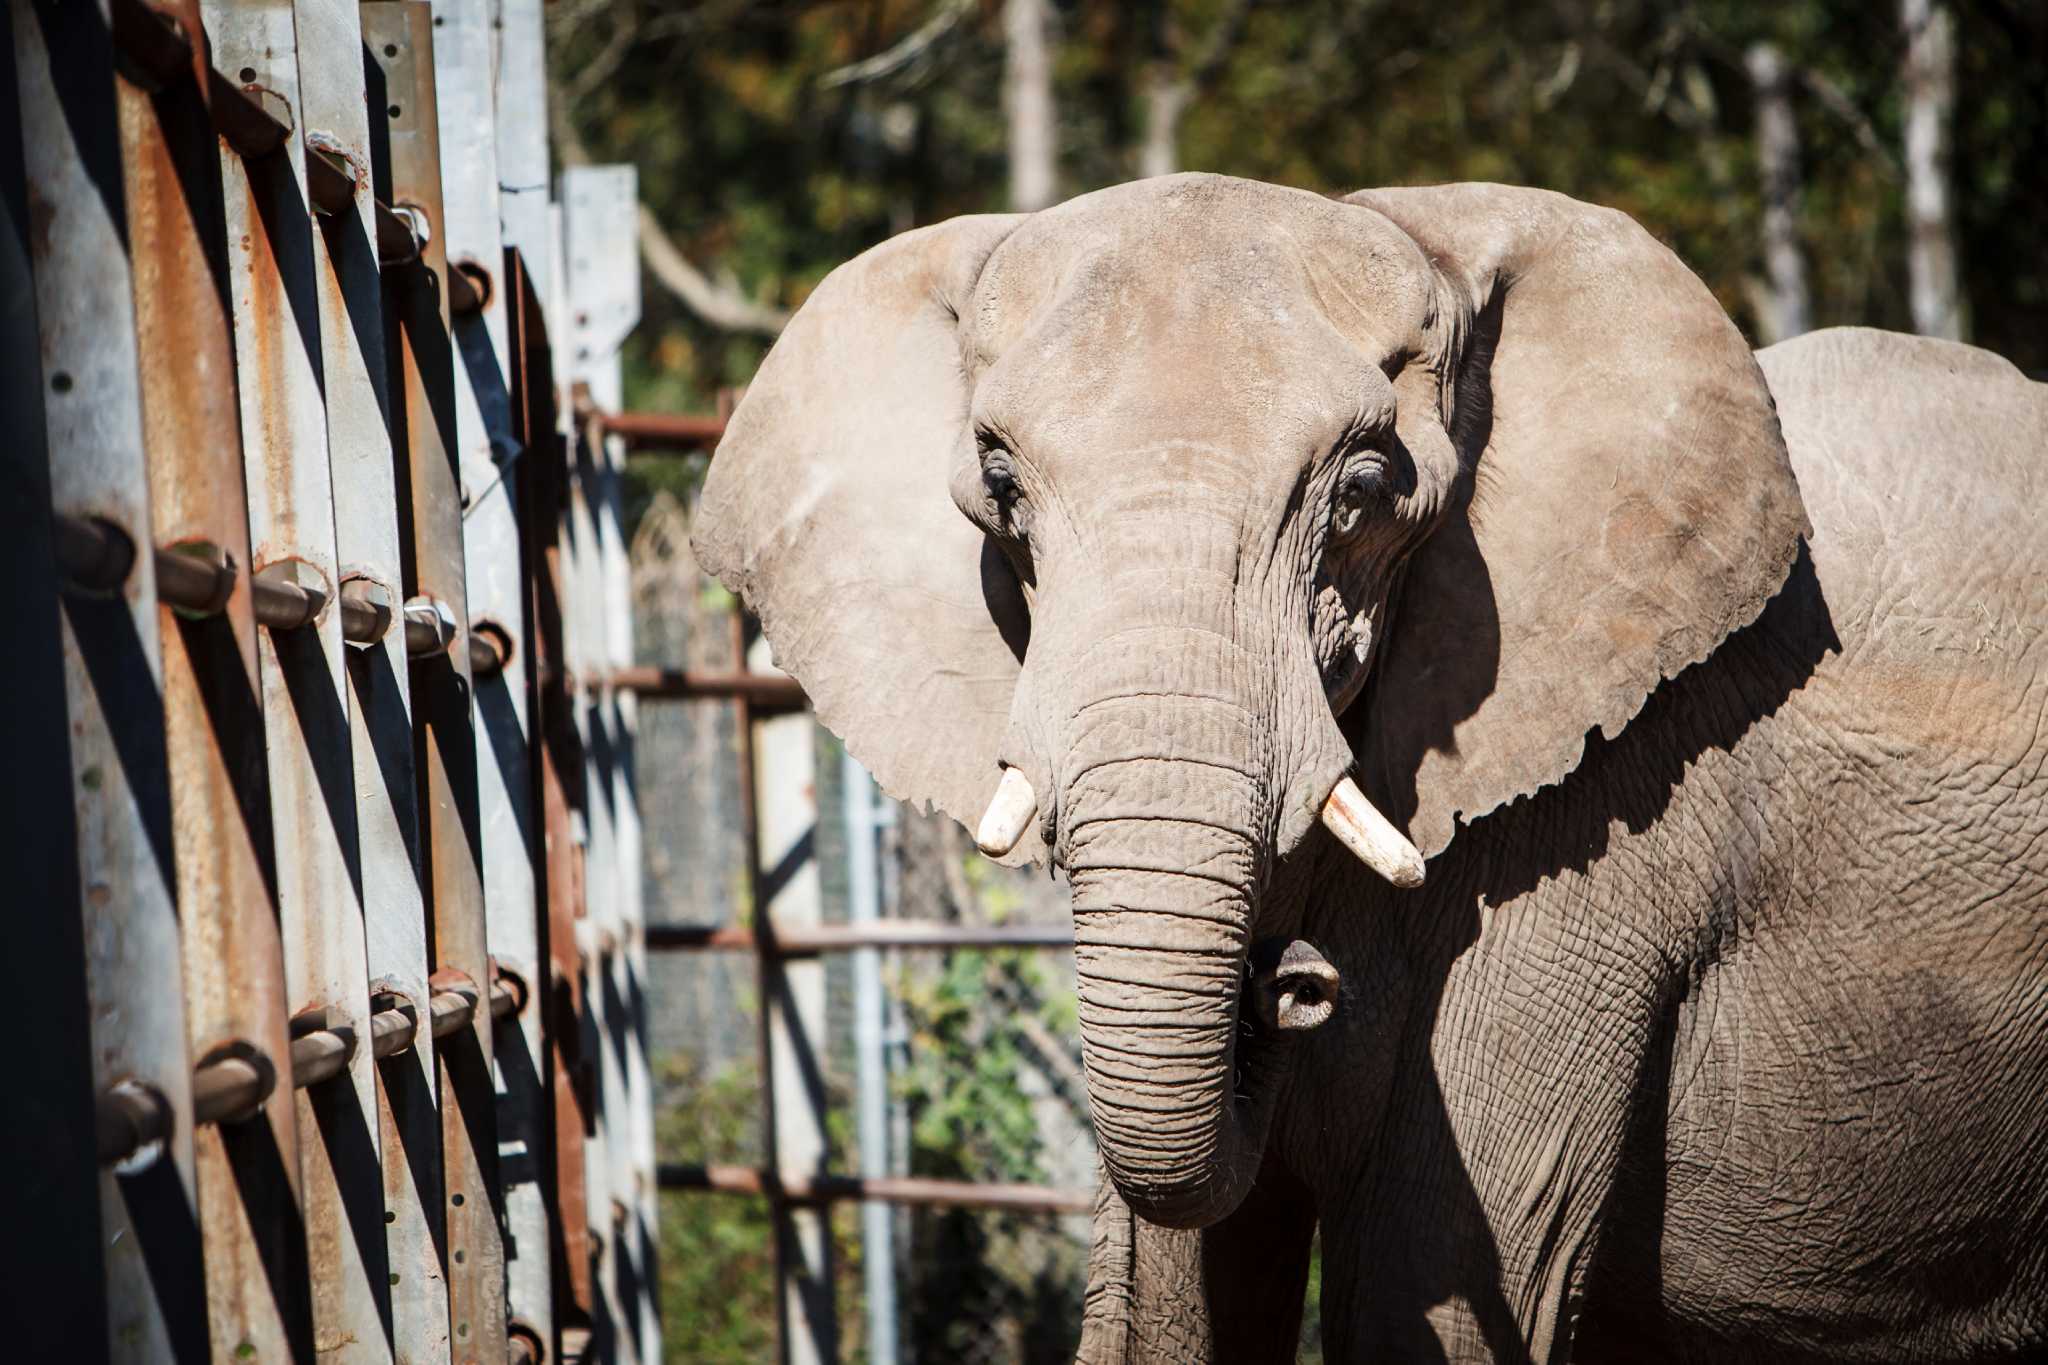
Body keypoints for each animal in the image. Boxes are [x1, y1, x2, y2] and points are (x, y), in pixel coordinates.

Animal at [691, 173, 2048, 1361]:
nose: (1286, 980)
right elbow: (1171, 1304)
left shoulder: (1602, 830)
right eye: (999, 488)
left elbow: (1421, 1296)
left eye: (1356, 493)